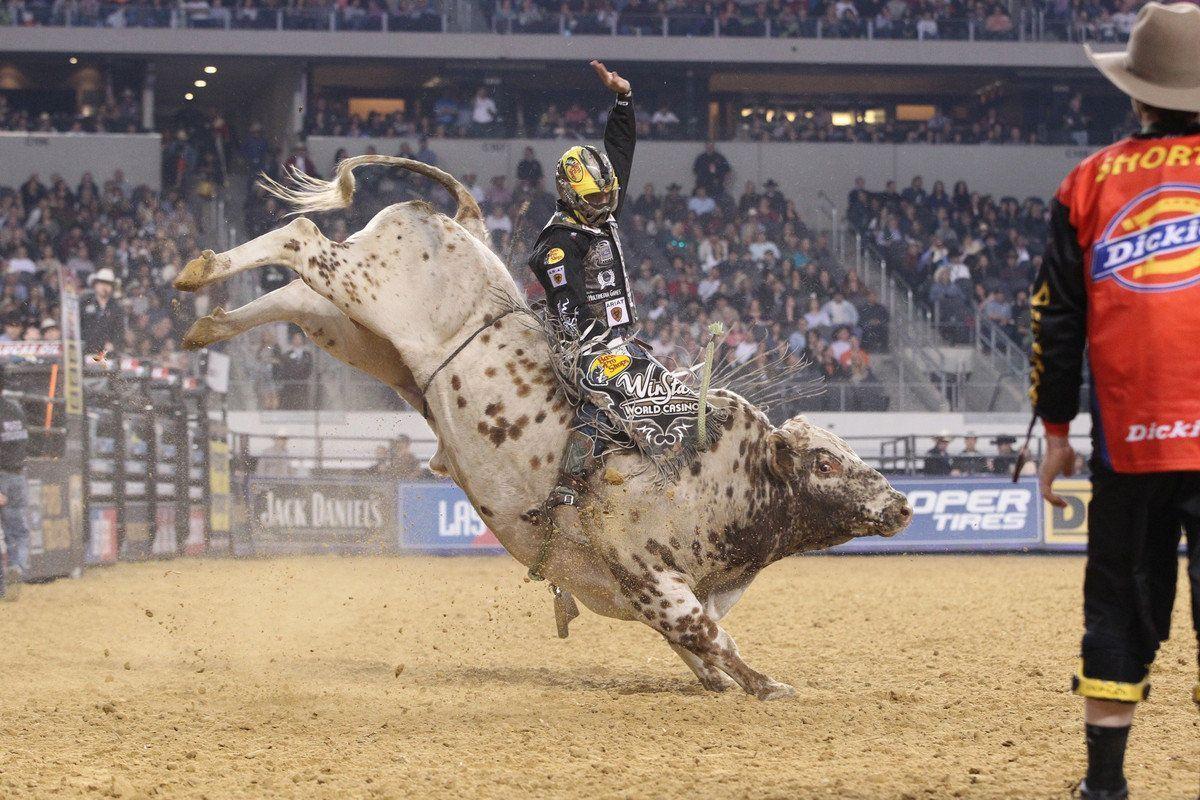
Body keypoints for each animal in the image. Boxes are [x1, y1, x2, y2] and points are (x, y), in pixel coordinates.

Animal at [176, 155, 911, 699]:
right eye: (823, 461)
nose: (903, 504)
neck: (722, 475)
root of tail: (464, 226)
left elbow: (702, 647)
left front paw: (732, 682)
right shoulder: (651, 577)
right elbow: (710, 636)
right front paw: (768, 684)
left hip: (360, 334)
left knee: (296, 293)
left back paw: (206, 323)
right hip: (368, 286)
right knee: (301, 235)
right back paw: (198, 271)